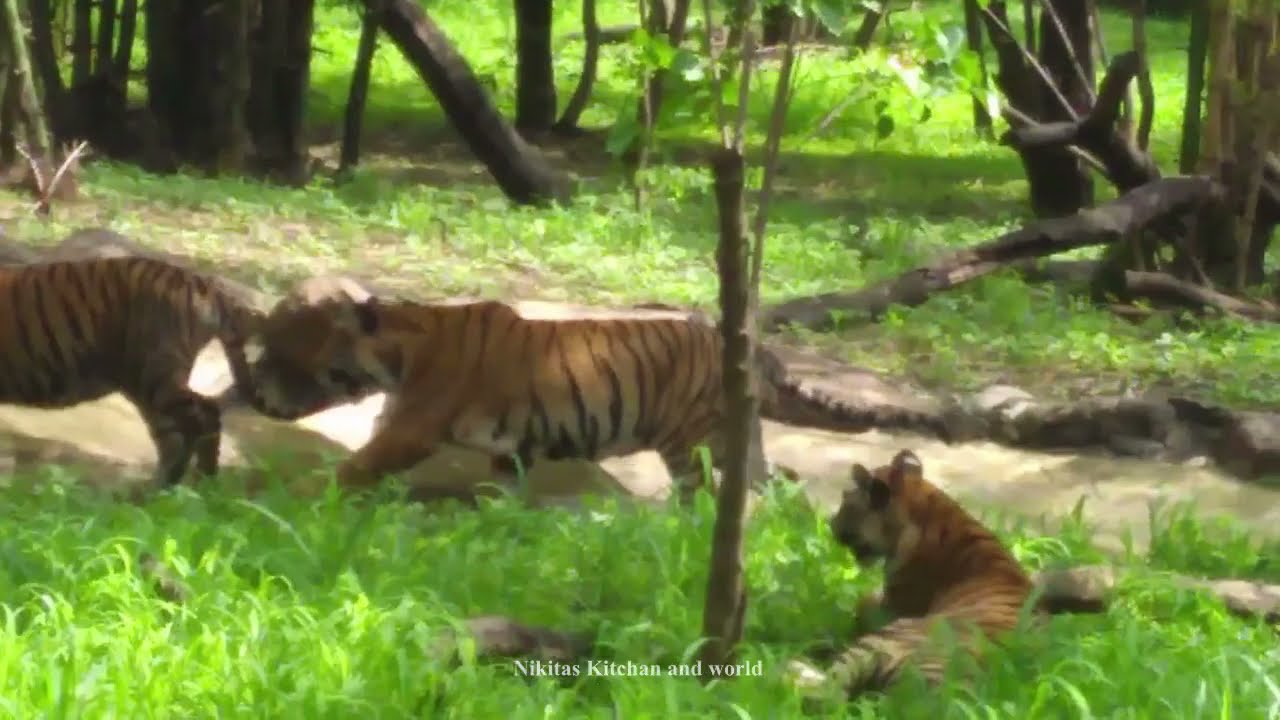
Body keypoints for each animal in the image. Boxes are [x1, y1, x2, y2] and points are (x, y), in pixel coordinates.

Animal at [0, 255, 266, 489]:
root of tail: (202, 284)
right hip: (149, 386)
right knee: (174, 437)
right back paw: (159, 494)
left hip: (152, 375)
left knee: (204, 416)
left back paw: (201, 485)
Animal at [227, 276, 956, 503]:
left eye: (286, 354)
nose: (256, 394)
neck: (400, 348)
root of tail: (760, 353)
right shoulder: (508, 447)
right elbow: (502, 495)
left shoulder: (411, 430)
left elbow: (350, 469)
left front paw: (288, 500)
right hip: (737, 439)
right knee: (768, 484)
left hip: (687, 440)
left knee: (699, 496)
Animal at [785, 449, 1039, 699]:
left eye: (846, 501)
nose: (831, 525)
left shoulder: (890, 608)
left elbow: (862, 602)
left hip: (883, 639)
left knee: (827, 691)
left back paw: (793, 665)